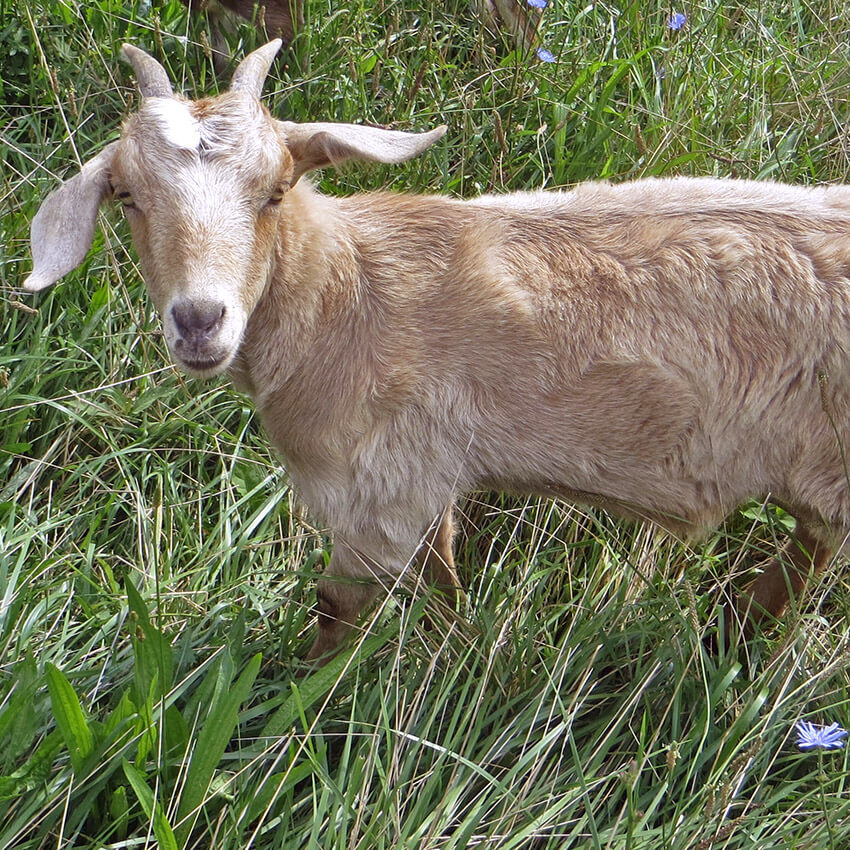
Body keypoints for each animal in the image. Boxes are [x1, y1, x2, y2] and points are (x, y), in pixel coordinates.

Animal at [26, 40, 849, 661]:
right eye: (128, 197)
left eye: (276, 190)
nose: (200, 320)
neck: (339, 292)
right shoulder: (422, 480)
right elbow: (443, 587)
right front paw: (465, 656)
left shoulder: (377, 489)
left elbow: (339, 605)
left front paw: (302, 704)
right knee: (807, 556)